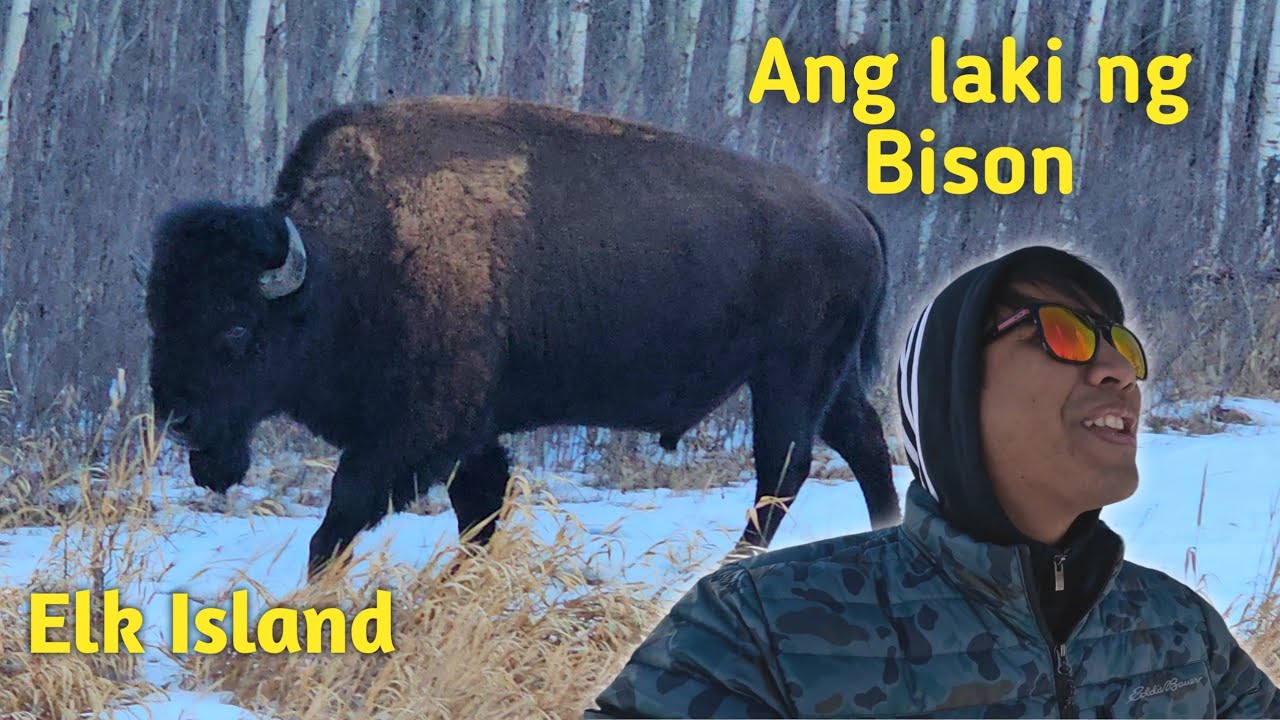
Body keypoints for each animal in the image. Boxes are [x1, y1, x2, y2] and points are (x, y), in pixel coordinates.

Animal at [145, 97, 901, 577]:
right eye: (157, 316)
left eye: (236, 327)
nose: (178, 420)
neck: (354, 264)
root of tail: (851, 210)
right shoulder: (472, 435)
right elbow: (477, 511)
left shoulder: (419, 433)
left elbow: (343, 515)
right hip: (824, 382)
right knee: (861, 444)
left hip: (790, 379)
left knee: (783, 472)